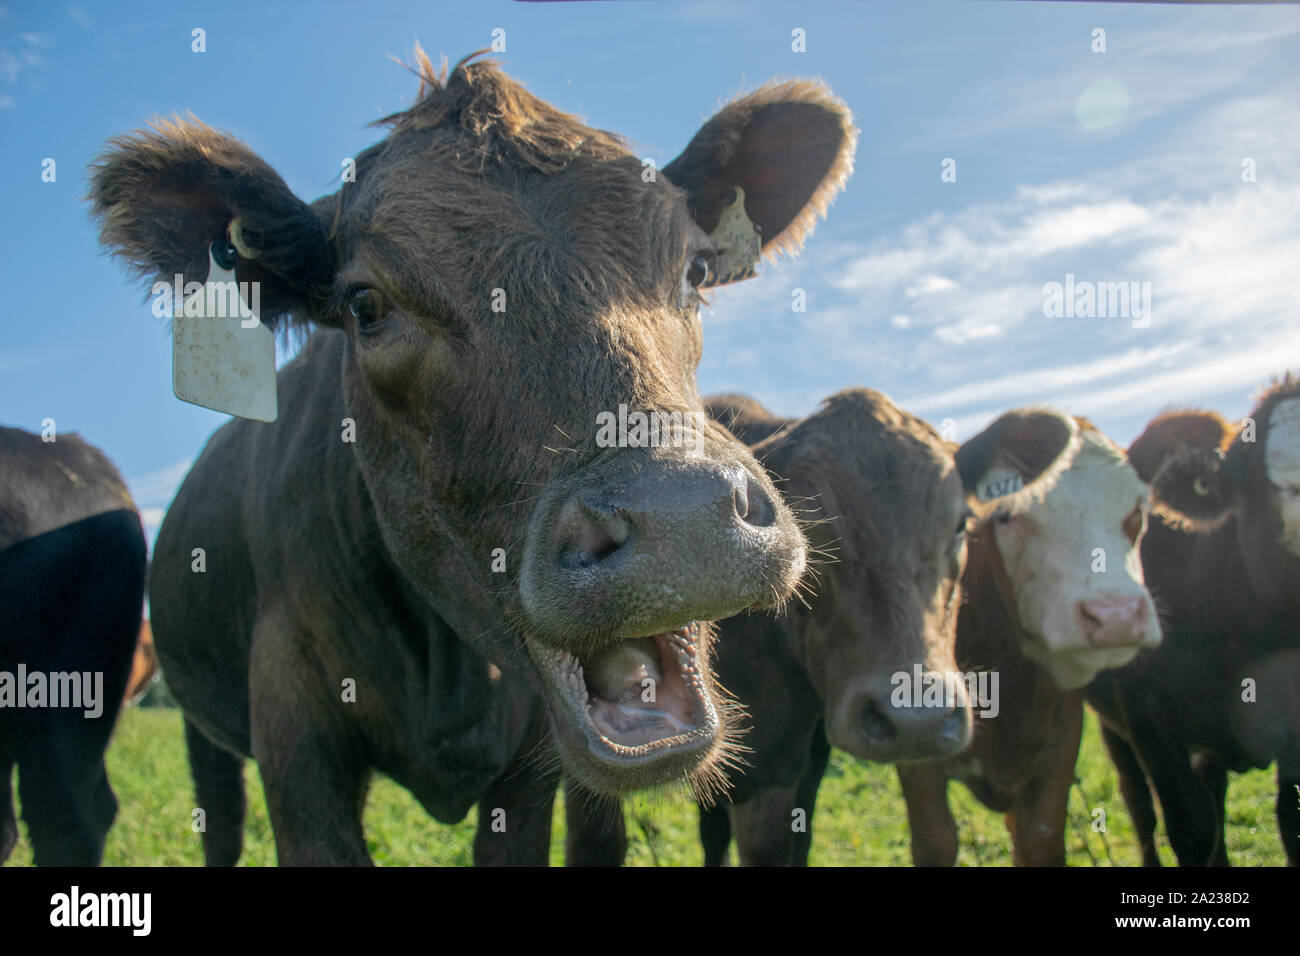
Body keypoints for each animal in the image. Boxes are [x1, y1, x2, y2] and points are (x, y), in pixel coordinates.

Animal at [896, 420, 1160, 866]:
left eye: (1138, 511)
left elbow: (1039, 838)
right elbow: (936, 841)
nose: (1116, 614)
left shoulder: (1061, 740)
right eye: (1005, 514)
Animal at [1087, 375, 1300, 866]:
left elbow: (1291, 820)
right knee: (1139, 807)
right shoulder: (1148, 717)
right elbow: (1190, 827)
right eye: (1276, 484)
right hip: (1112, 730)